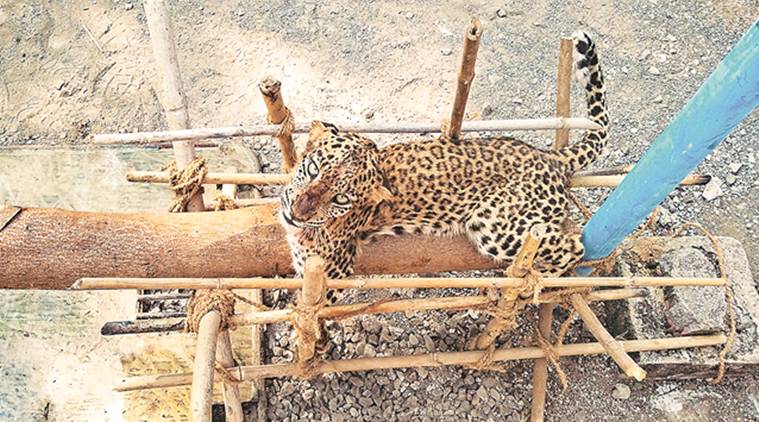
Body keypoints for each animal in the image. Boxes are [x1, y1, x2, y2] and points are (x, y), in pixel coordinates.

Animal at [280, 31, 609, 304]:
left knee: (574, 246)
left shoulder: (329, 276)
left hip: (495, 227)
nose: (297, 212)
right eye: (313, 169)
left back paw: (527, 282)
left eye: (341, 199)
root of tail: (548, 155)